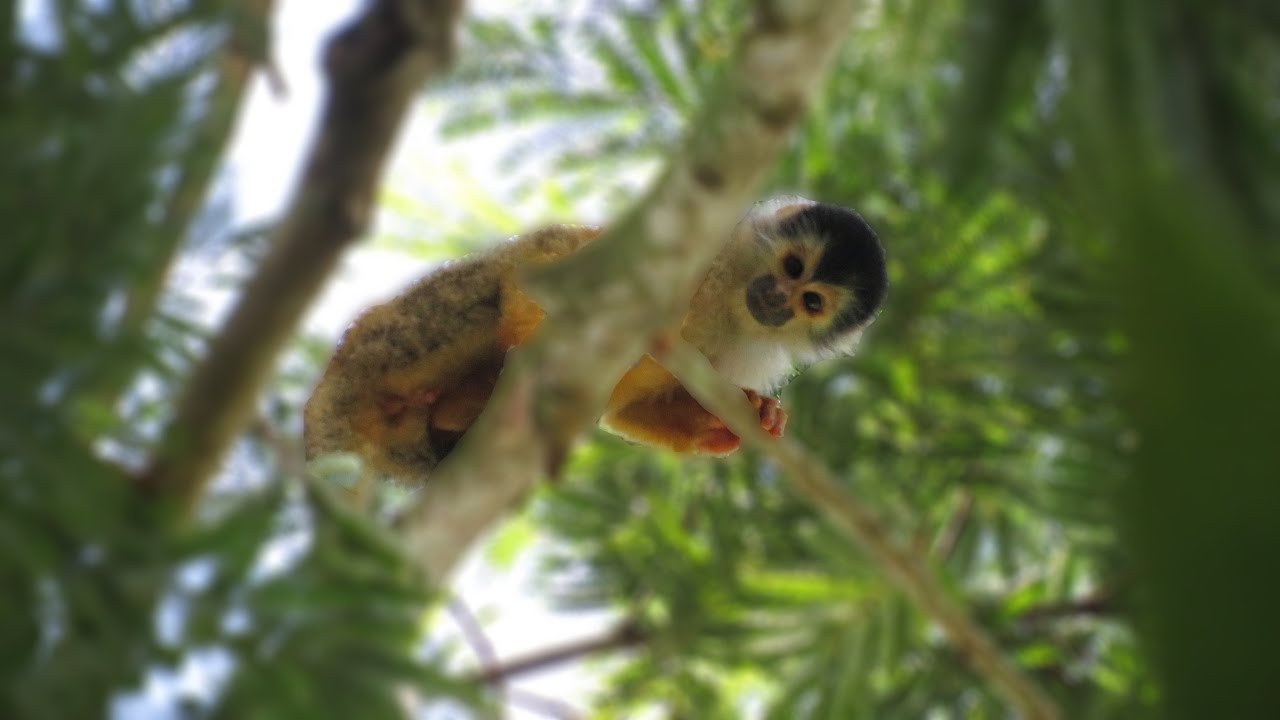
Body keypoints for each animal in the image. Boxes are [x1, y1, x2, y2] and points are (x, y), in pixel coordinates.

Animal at [303, 197, 887, 483]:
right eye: (792, 266)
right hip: (407, 328)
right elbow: (547, 258)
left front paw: (752, 414)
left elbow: (628, 409)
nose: (778, 298)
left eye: (812, 302)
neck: (729, 305)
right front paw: (526, 344)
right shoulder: (701, 257)